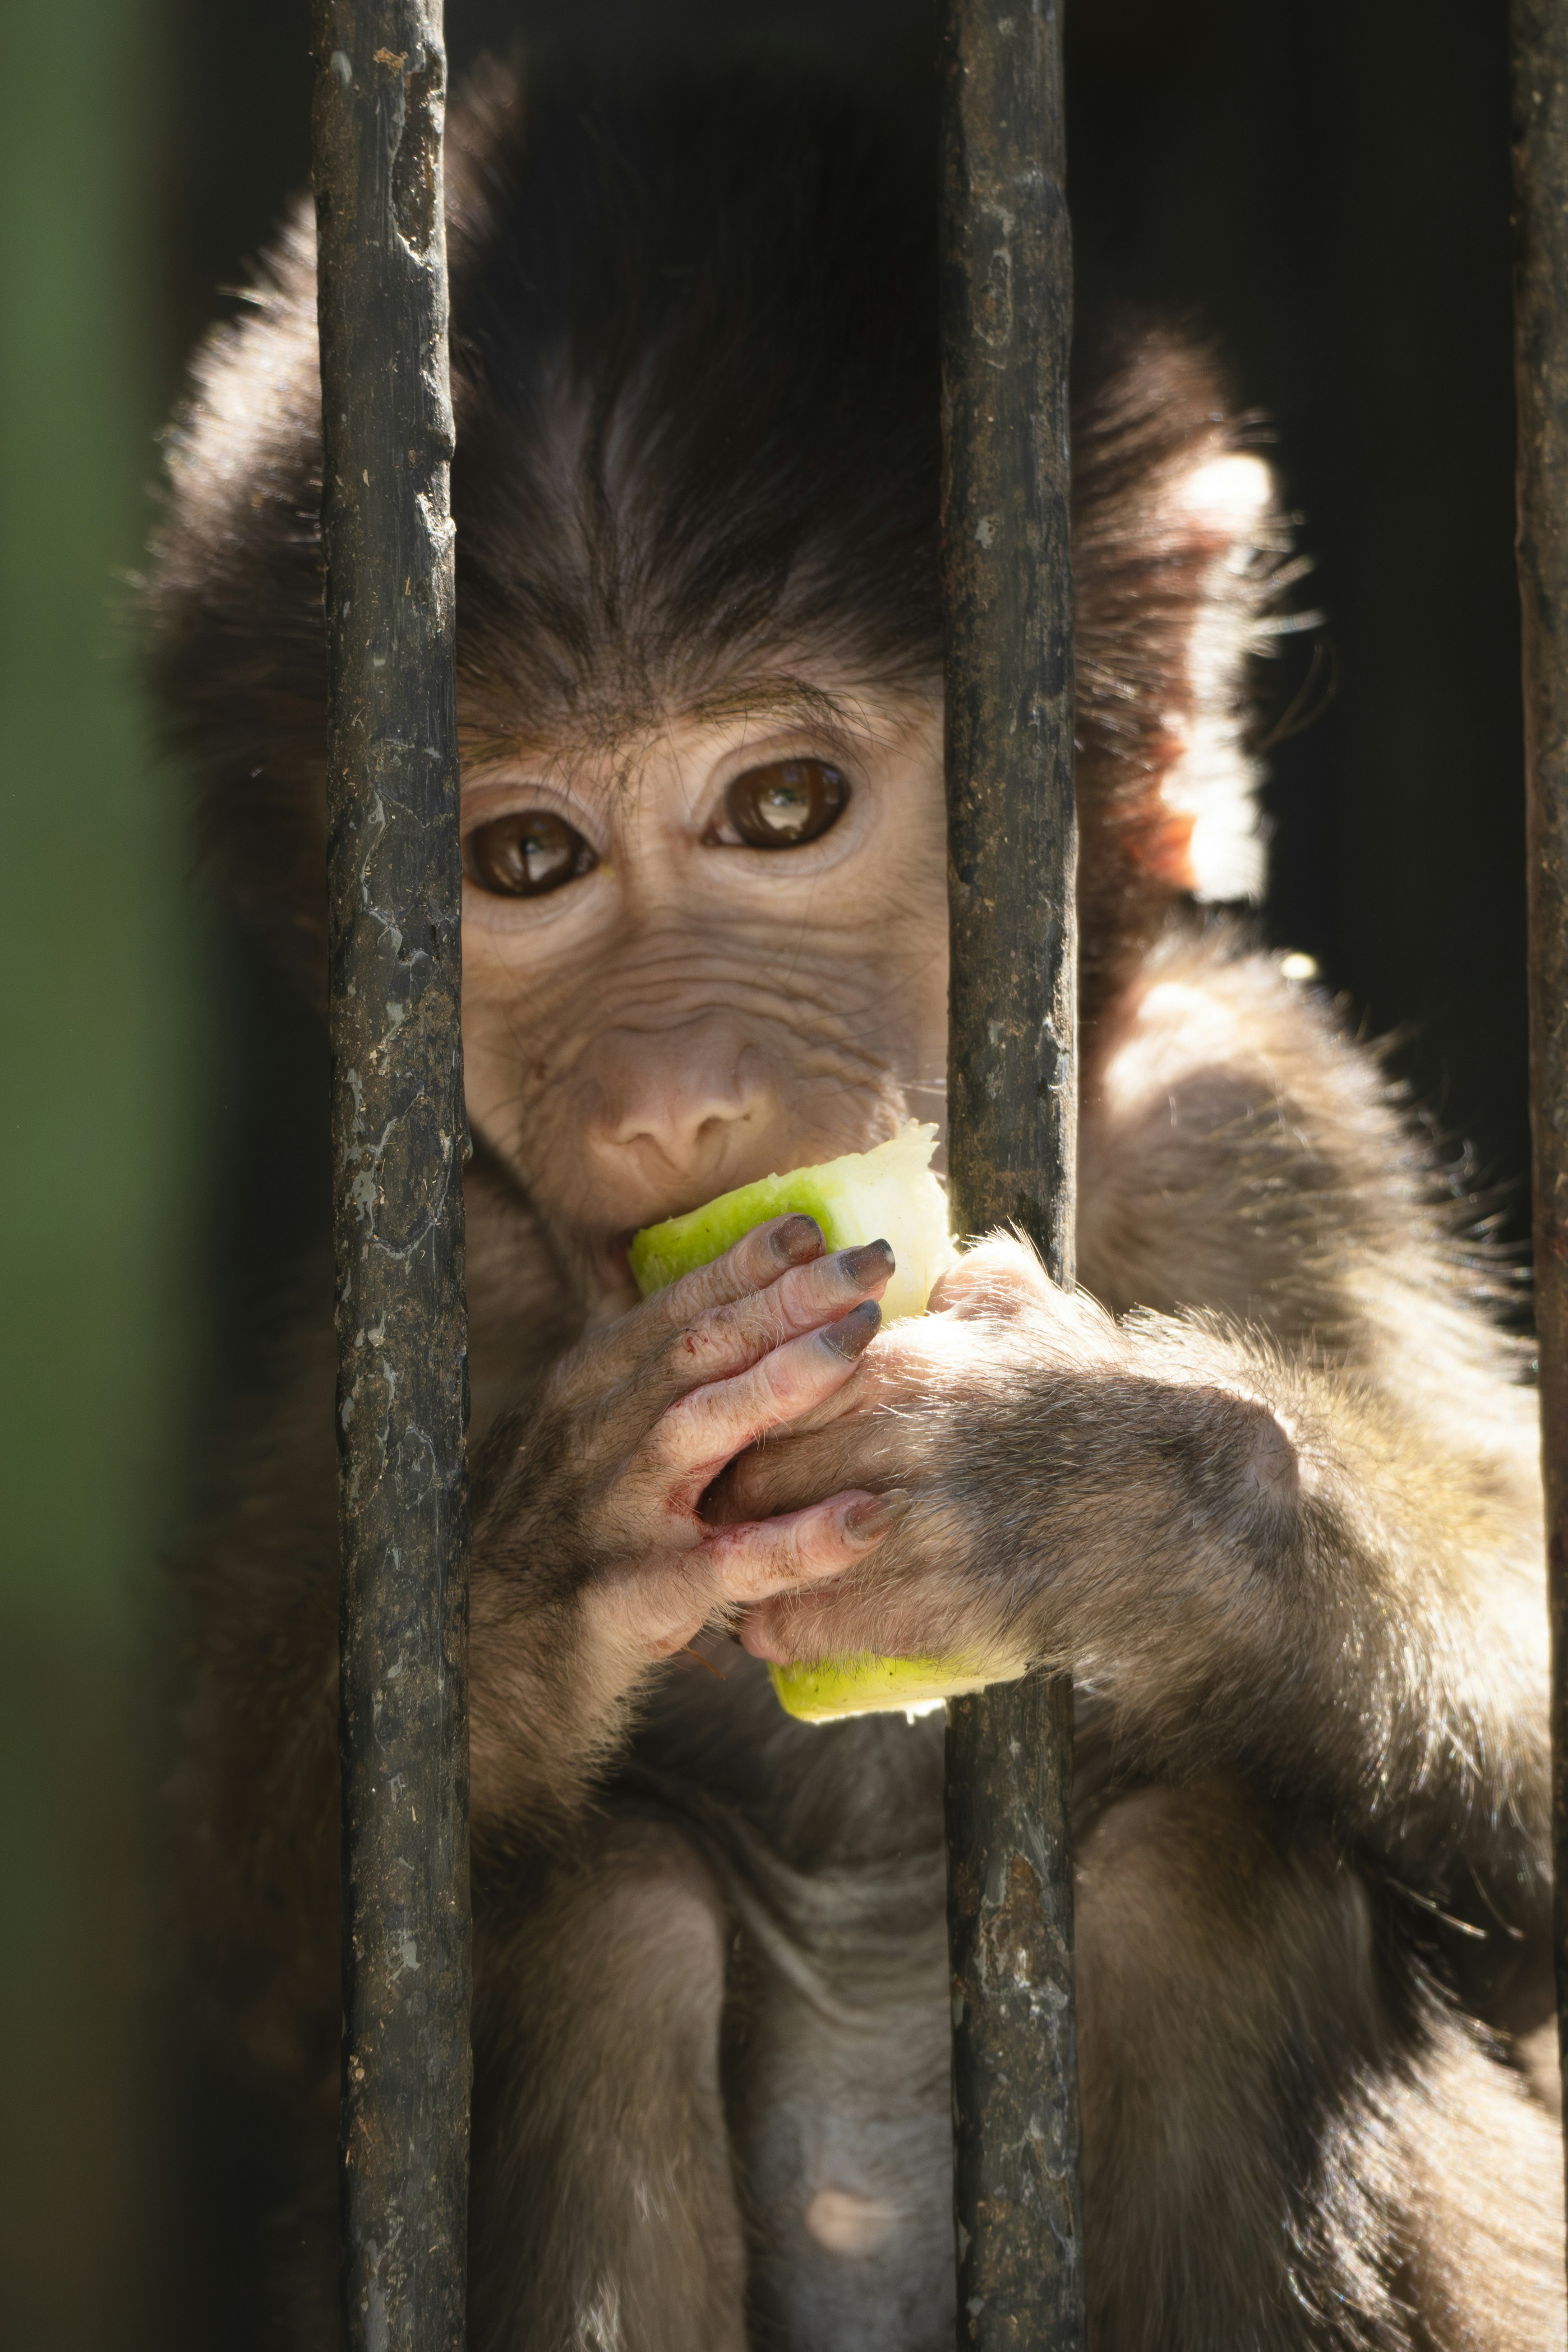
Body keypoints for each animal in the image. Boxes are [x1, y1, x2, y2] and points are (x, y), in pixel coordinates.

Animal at [147, 37, 1565, 2352]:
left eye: (784, 807)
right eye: (523, 861)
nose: (671, 1103)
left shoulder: (1257, 1116)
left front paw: (1121, 1485)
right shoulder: (439, 1267)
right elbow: (283, 1950)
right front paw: (537, 1572)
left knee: (1207, 1884)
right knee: (607, 1920)